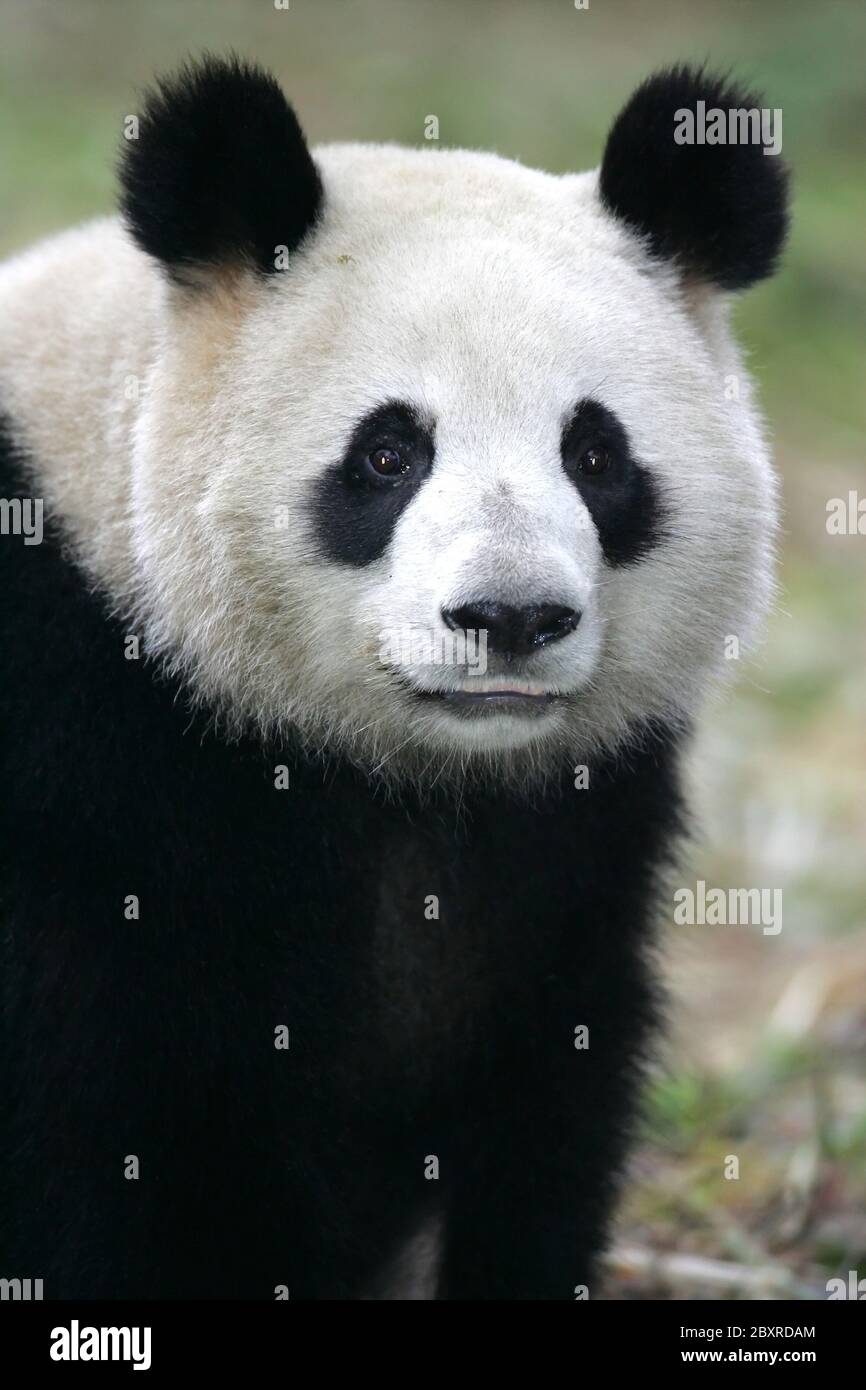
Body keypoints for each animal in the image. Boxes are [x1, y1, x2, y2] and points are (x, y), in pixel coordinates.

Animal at [0, 56, 787, 1300]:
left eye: (594, 453)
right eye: (386, 453)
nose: (508, 617)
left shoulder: (566, 844)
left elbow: (536, 1105)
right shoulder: (77, 759)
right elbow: (87, 1135)